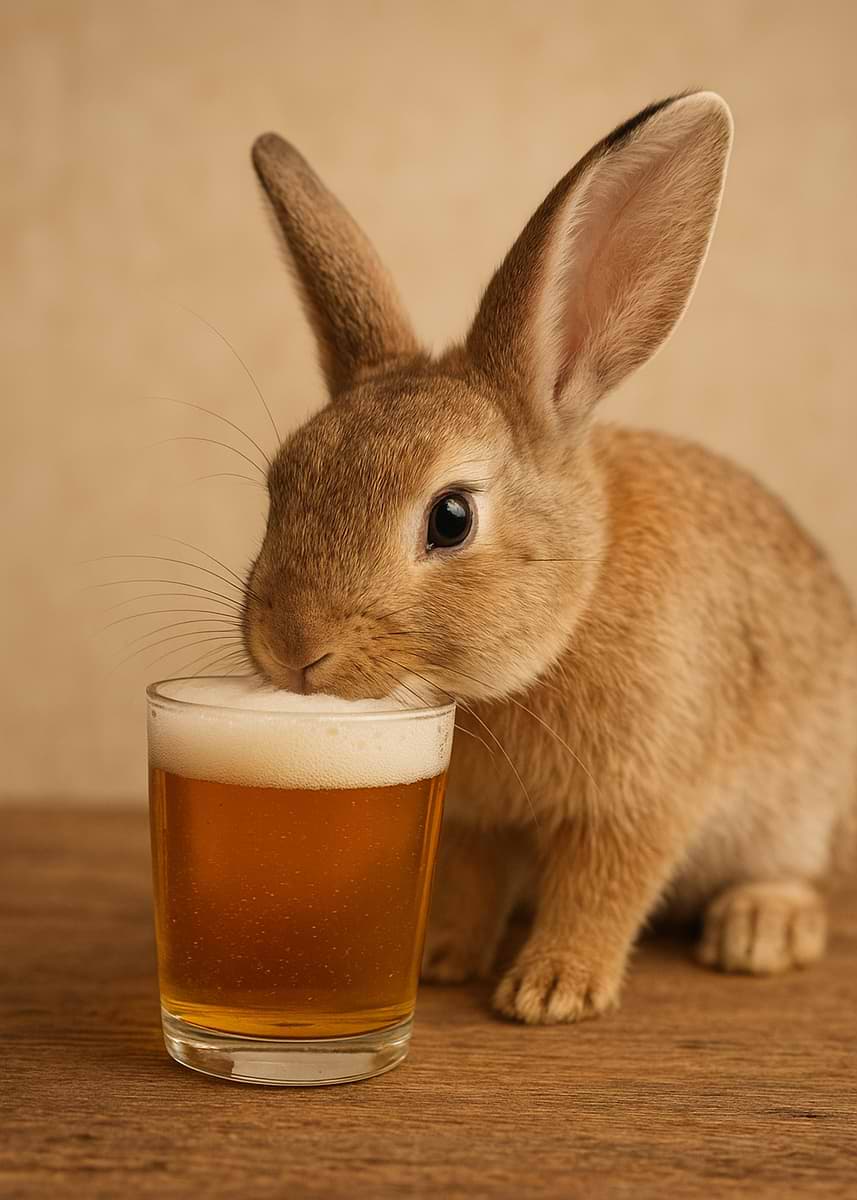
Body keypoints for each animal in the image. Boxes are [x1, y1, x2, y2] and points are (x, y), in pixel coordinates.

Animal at [242, 92, 857, 1025]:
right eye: (280, 484)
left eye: (450, 518)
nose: (291, 648)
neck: (573, 609)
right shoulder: (476, 824)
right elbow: (469, 885)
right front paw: (444, 960)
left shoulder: (641, 800)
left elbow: (601, 890)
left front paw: (551, 989)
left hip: (803, 802)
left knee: (800, 875)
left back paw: (759, 930)